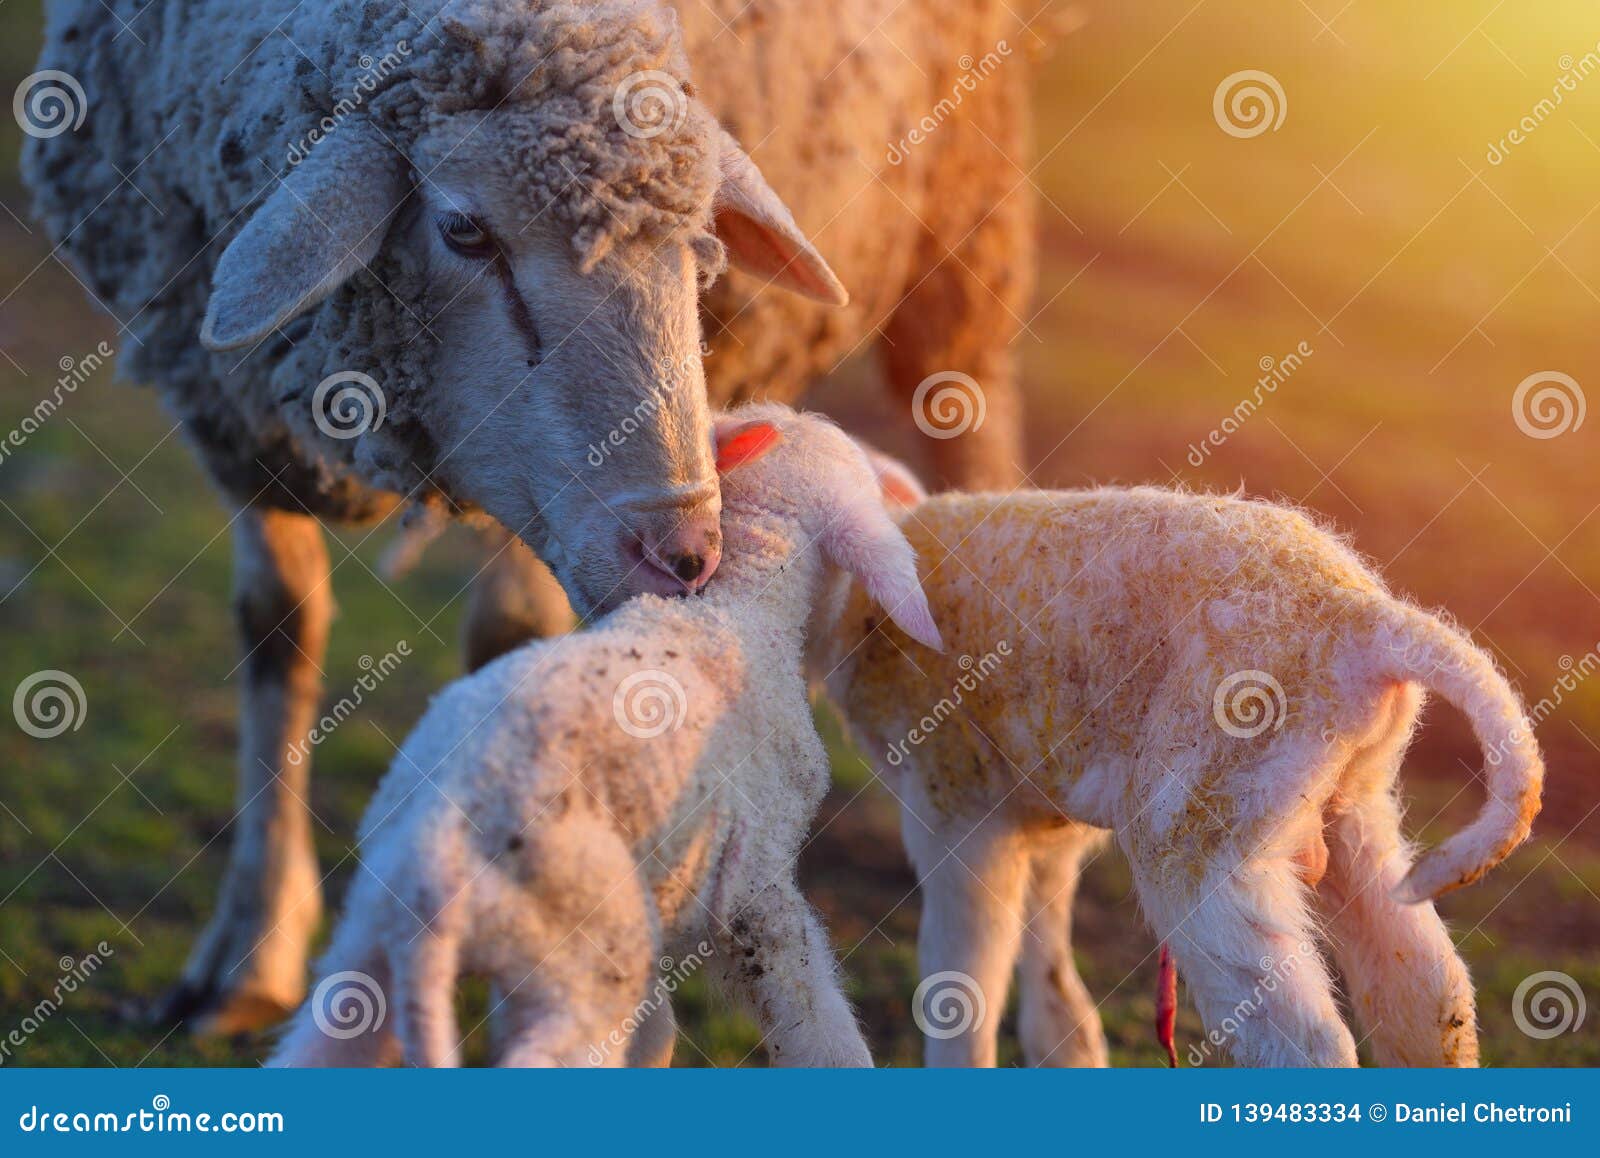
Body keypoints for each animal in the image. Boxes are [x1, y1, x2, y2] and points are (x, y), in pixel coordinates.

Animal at [22, 0, 856, 1031]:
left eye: (704, 246)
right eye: (464, 231)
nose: (687, 555)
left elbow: (511, 644)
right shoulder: (238, 405)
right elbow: (276, 631)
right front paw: (250, 954)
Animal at [268, 404, 942, 1067]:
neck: (740, 605)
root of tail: (437, 845)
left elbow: (657, 1034)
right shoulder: (756, 880)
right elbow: (814, 1018)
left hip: (371, 936)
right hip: (587, 942)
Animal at [818, 486, 1545, 1067]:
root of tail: (1360, 620)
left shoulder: (955, 803)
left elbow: (962, 977)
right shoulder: (1039, 811)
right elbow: (1045, 947)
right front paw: (1072, 1049)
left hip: (1203, 813)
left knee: (1303, 1040)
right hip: (1346, 800)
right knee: (1427, 992)